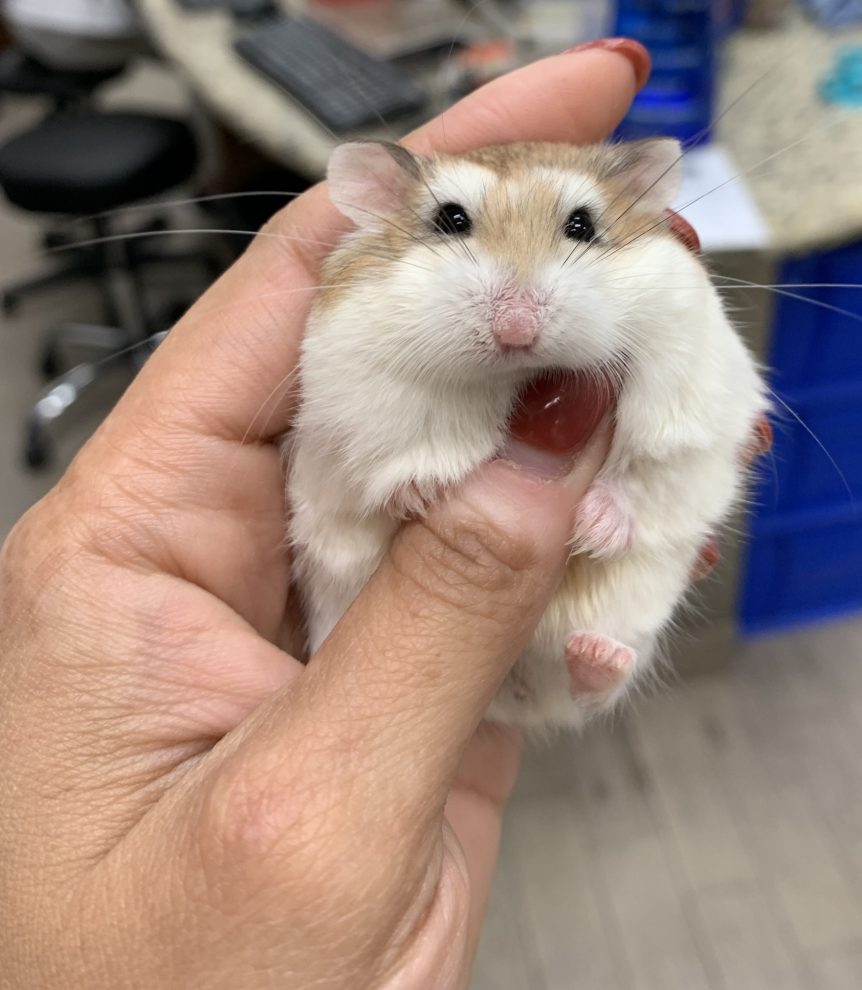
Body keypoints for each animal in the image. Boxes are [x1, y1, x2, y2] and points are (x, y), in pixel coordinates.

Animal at [285, 138, 768, 730]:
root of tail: (509, 703)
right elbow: (385, 475)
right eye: (451, 219)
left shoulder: (691, 415)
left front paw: (593, 530)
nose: (517, 330)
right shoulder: (343, 424)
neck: (511, 379)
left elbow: (643, 473)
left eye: (582, 225)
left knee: (585, 690)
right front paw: (427, 491)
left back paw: (596, 655)